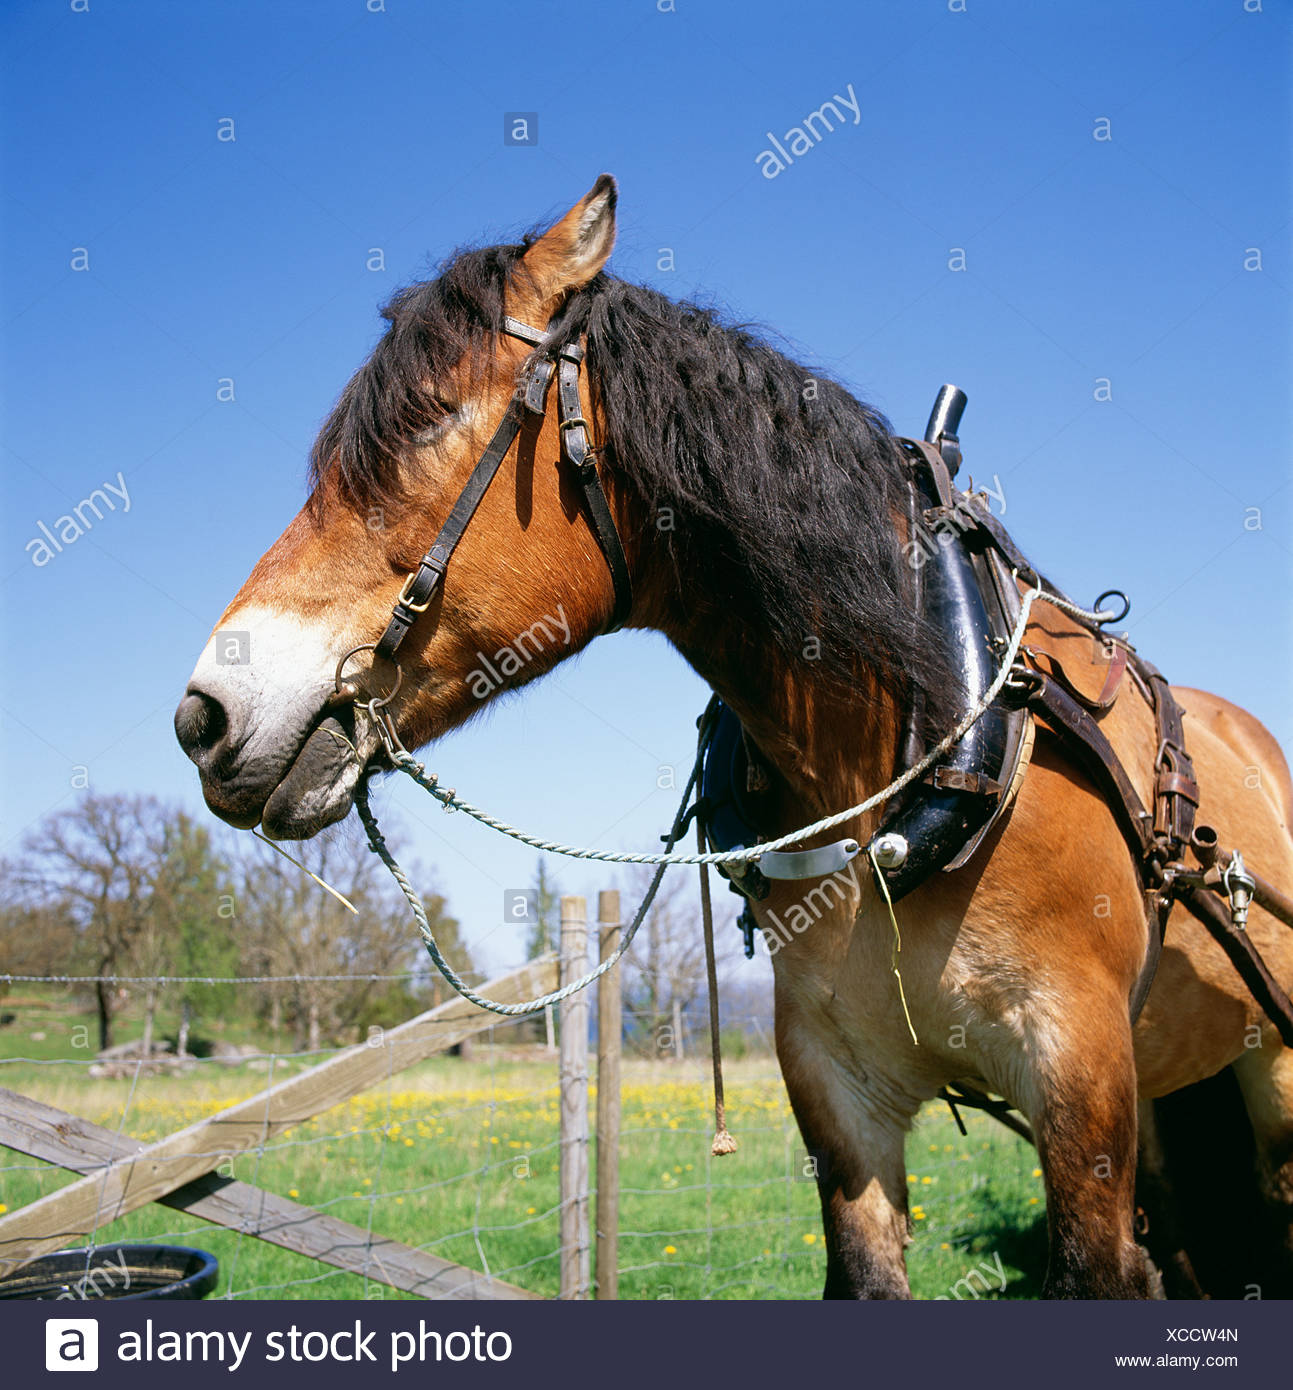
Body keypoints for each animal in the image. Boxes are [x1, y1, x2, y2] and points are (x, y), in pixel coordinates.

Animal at [175, 176, 1293, 1299]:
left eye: (429, 420)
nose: (203, 716)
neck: (915, 760)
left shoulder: (1079, 1076)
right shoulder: (837, 1091)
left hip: (1266, 1074)